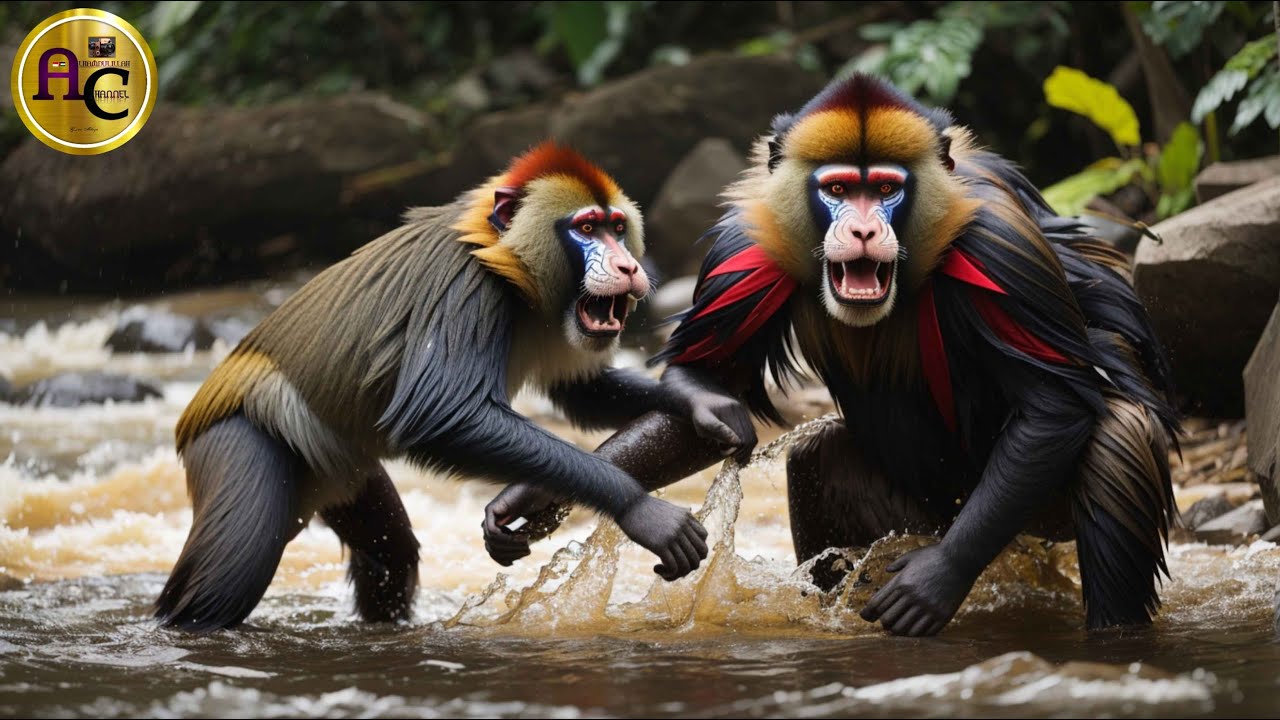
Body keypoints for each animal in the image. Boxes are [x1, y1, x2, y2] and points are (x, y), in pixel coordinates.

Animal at [155, 142, 748, 632]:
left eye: (618, 228)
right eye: (586, 229)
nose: (627, 265)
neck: (509, 262)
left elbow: (579, 391)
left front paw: (700, 400)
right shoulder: (466, 291)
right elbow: (442, 418)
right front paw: (638, 508)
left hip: (336, 470)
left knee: (391, 556)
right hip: (238, 440)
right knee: (227, 578)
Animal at [481, 75, 1181, 637]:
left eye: (887, 189)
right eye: (840, 188)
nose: (866, 229)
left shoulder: (998, 249)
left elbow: (1053, 404)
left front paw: (939, 577)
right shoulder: (749, 243)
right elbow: (711, 389)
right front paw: (531, 499)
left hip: (1028, 514)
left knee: (1113, 437)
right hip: (927, 509)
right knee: (819, 460)